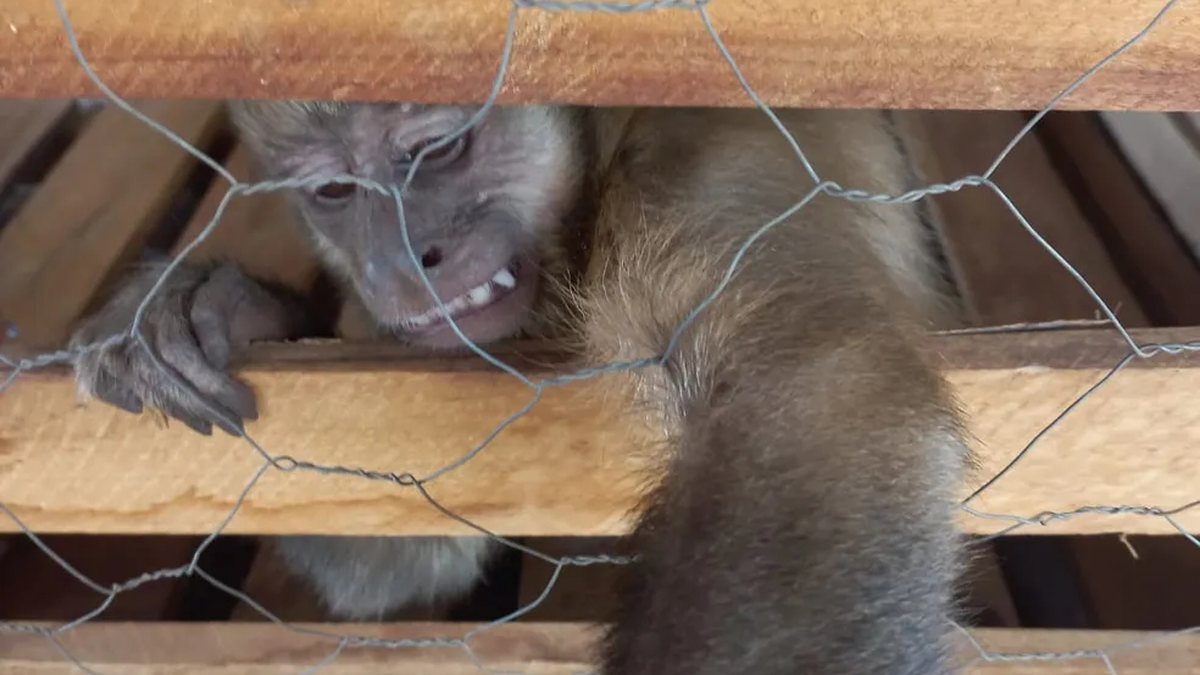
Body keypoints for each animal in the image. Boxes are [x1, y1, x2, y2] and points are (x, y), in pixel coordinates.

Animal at [69, 102, 970, 673]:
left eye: (436, 149)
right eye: (333, 191)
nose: (404, 257)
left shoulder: (697, 154)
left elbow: (825, 402)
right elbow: (396, 557)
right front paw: (214, 306)